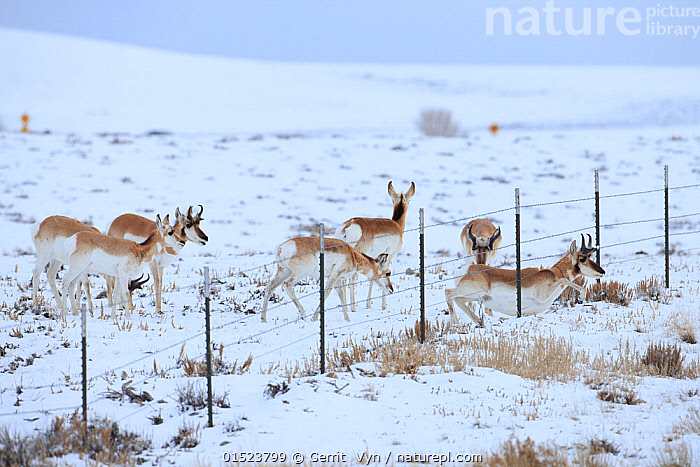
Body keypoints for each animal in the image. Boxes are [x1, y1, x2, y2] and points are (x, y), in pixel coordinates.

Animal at [260, 237, 394, 323]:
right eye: (387, 273)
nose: (391, 289)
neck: (353, 255)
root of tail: (282, 247)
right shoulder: (334, 275)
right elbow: (326, 293)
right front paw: (314, 318)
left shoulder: (338, 279)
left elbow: (341, 295)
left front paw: (347, 319)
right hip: (298, 274)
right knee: (287, 285)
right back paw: (303, 314)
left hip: (284, 272)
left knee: (270, 287)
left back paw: (263, 319)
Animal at [337, 181, 415, 311]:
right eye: (408, 200)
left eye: (393, 200)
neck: (396, 225)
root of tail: (349, 225)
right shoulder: (388, 257)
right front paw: (382, 305)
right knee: (351, 278)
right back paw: (353, 308)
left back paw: (345, 307)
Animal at [445, 234, 605, 325]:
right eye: (583, 258)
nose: (602, 272)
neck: (553, 273)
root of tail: (466, 269)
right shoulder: (543, 293)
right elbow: (564, 280)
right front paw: (583, 294)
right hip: (471, 291)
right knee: (448, 292)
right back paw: (456, 324)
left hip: (474, 296)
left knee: (458, 300)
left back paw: (478, 321)